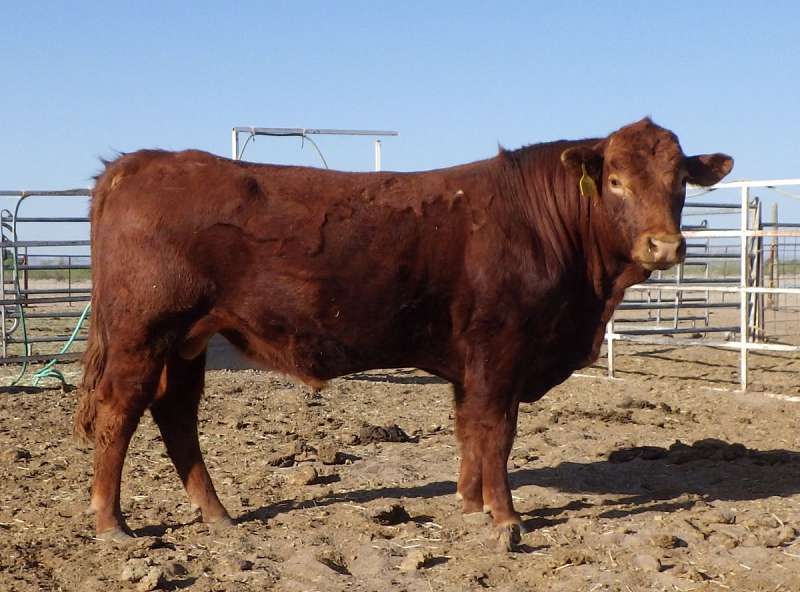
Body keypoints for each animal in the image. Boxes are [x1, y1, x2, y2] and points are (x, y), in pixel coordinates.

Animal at [75, 118, 732, 549]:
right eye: (616, 181)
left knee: (176, 415)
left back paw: (215, 513)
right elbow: (497, 431)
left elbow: (471, 428)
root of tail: (139, 162)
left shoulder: (472, 361)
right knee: (119, 410)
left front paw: (470, 502)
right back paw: (110, 522)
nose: (664, 245)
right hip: (144, 333)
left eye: (679, 181)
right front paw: (506, 519)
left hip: (186, 342)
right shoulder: (500, 348)